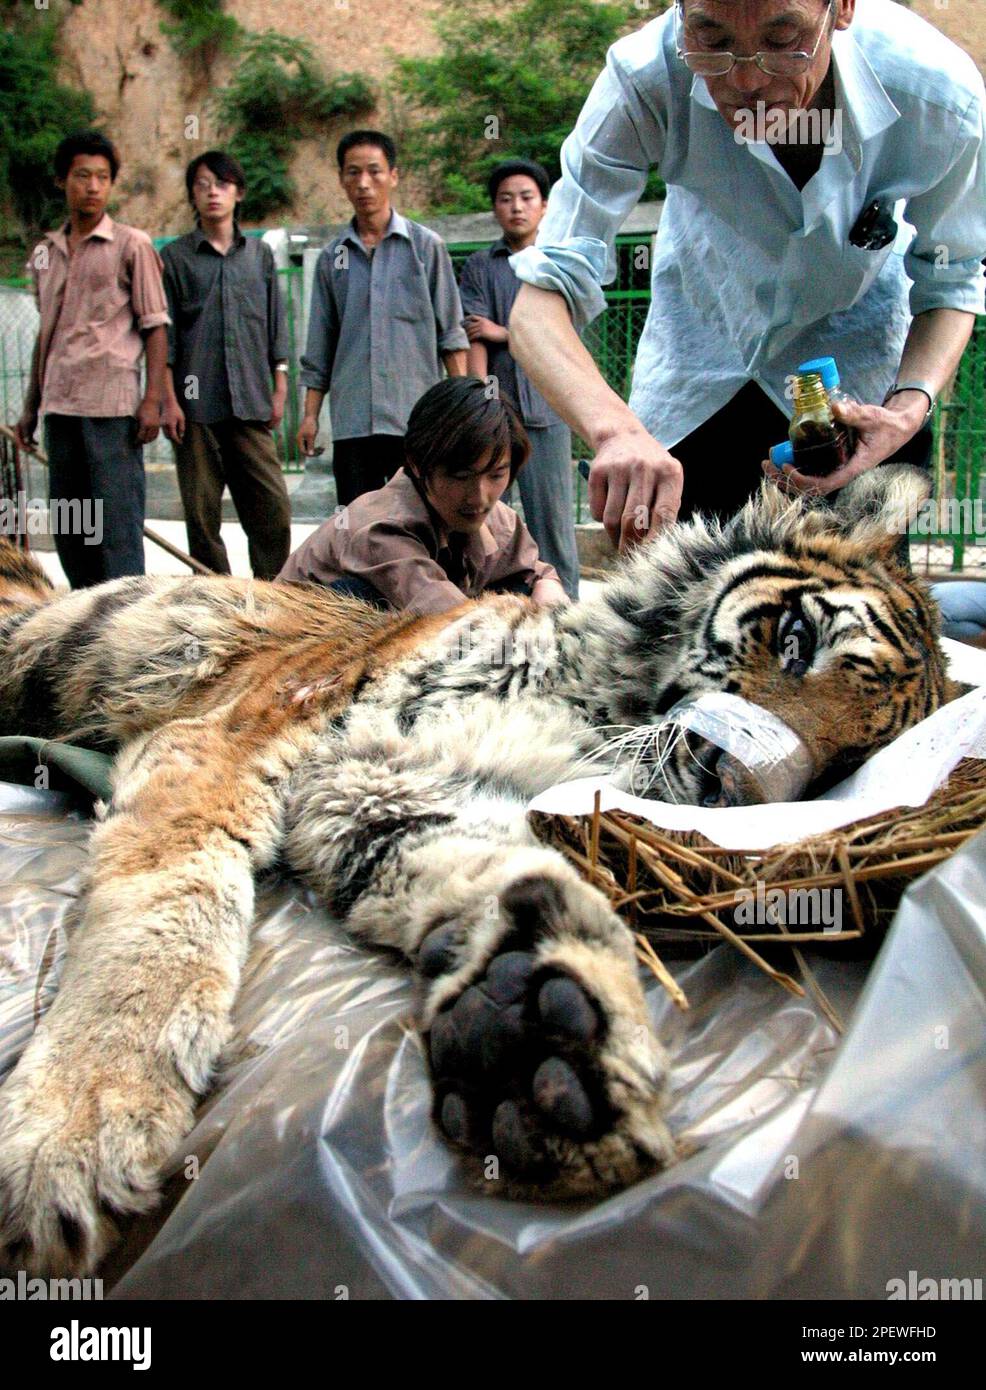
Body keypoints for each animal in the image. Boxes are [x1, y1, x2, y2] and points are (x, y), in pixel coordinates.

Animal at [0, 464, 952, 1276]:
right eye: (797, 640)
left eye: (841, 770)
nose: (731, 786)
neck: (592, 710)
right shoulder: (234, 743)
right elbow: (158, 922)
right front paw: (74, 1135)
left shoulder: (376, 784)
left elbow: (486, 862)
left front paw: (532, 1033)